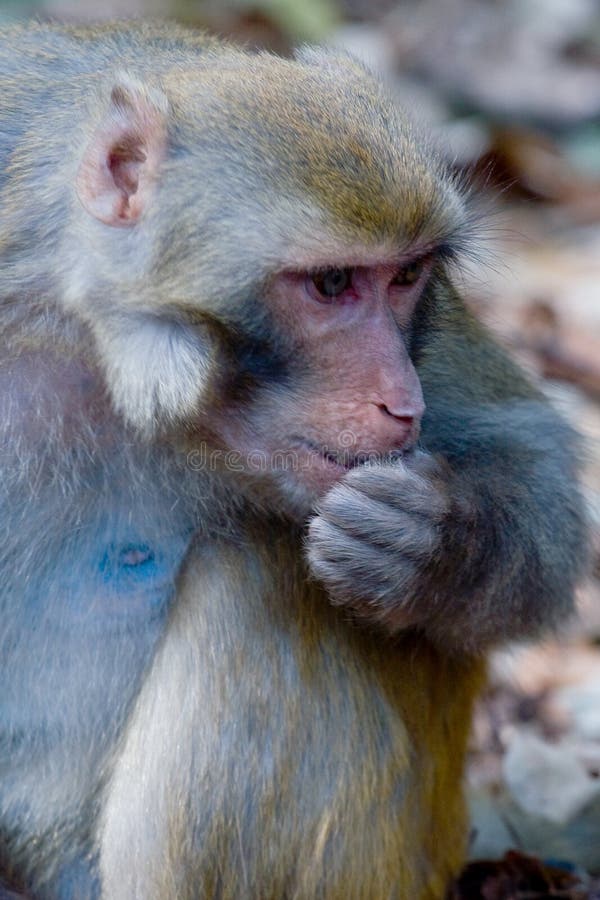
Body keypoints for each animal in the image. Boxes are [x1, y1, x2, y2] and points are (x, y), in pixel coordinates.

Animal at [0, 20, 588, 900]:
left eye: (406, 276)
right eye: (333, 283)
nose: (404, 401)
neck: (86, 341)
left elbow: (529, 454)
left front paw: (429, 546)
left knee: (257, 568)